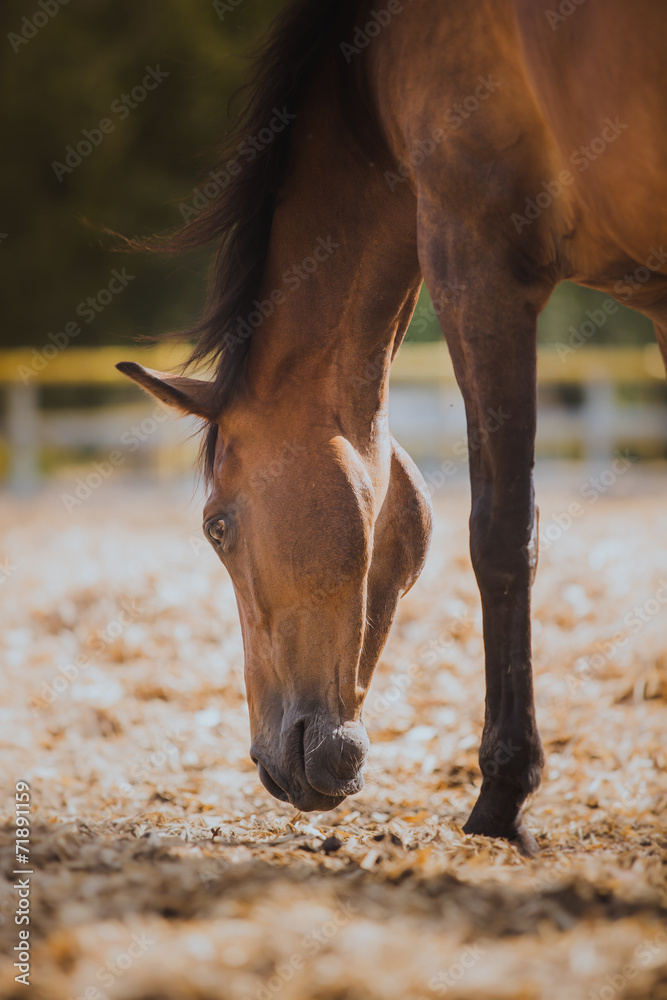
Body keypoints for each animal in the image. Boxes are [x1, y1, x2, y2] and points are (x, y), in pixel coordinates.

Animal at [118, 0, 667, 855]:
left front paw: (501, 797)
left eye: (215, 527)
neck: (369, 77)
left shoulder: (474, 260)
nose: (276, 765)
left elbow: (501, 536)